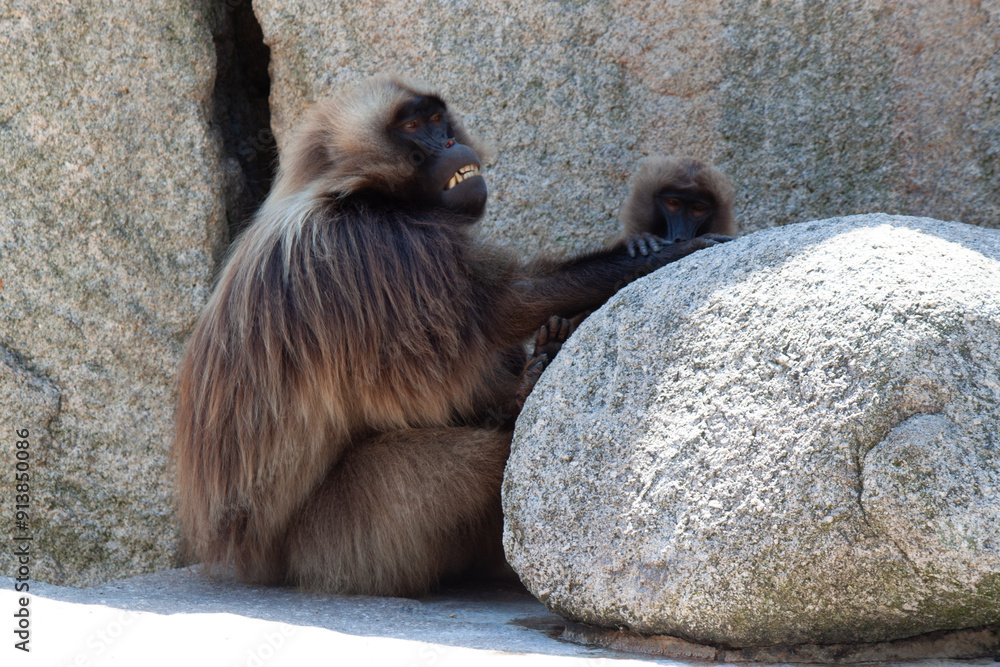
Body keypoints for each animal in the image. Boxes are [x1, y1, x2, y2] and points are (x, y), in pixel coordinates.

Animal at [172, 76, 731, 597]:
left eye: (438, 118)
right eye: (413, 127)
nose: (449, 143)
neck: (346, 186)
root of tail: (253, 564)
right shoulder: (365, 248)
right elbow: (498, 312)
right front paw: (665, 252)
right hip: (338, 544)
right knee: (473, 458)